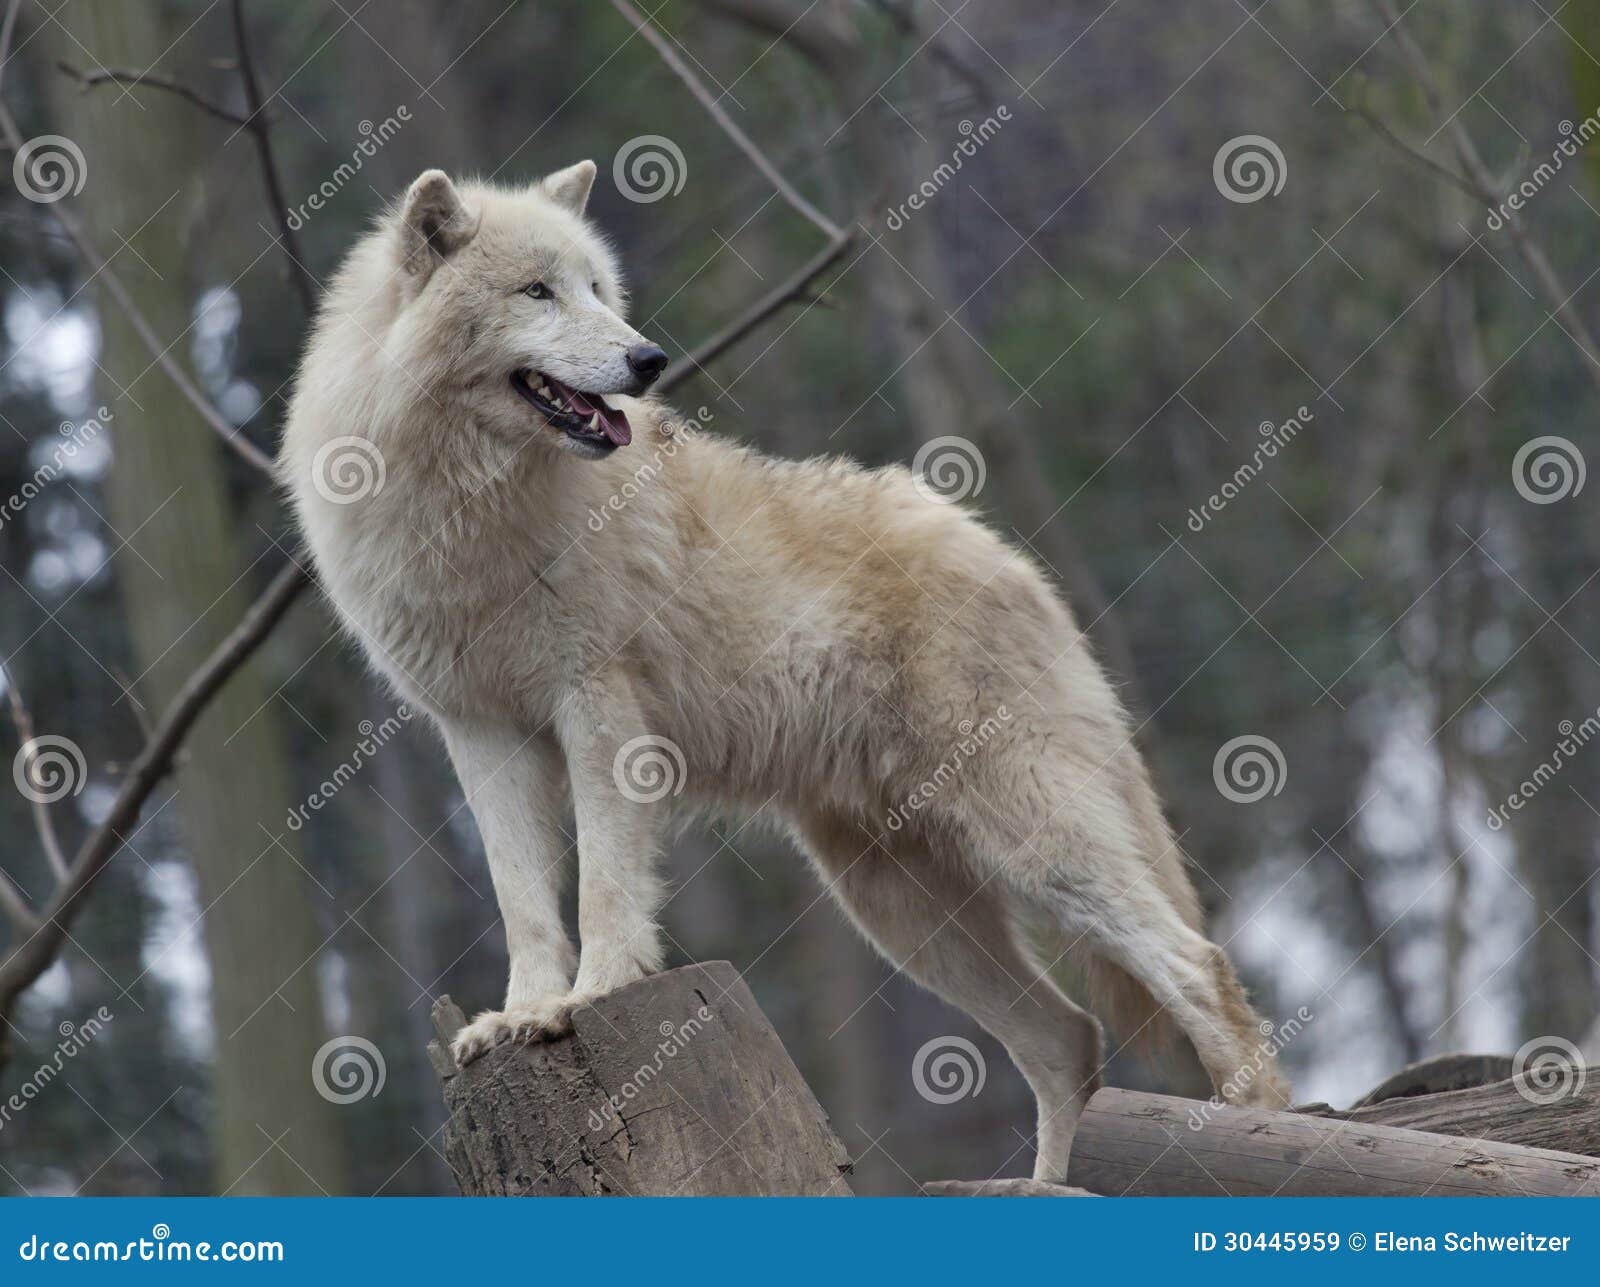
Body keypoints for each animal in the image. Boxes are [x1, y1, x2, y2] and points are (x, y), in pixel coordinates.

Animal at [279, 161, 1289, 1180]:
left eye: (597, 288)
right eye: (537, 292)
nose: (648, 360)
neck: (469, 506)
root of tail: (1007, 554)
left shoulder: (597, 706)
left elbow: (604, 887)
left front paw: (593, 995)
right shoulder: (480, 734)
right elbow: (522, 899)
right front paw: (524, 1013)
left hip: (1032, 844)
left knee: (1197, 968)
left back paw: (1259, 1132)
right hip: (901, 907)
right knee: (1067, 1040)